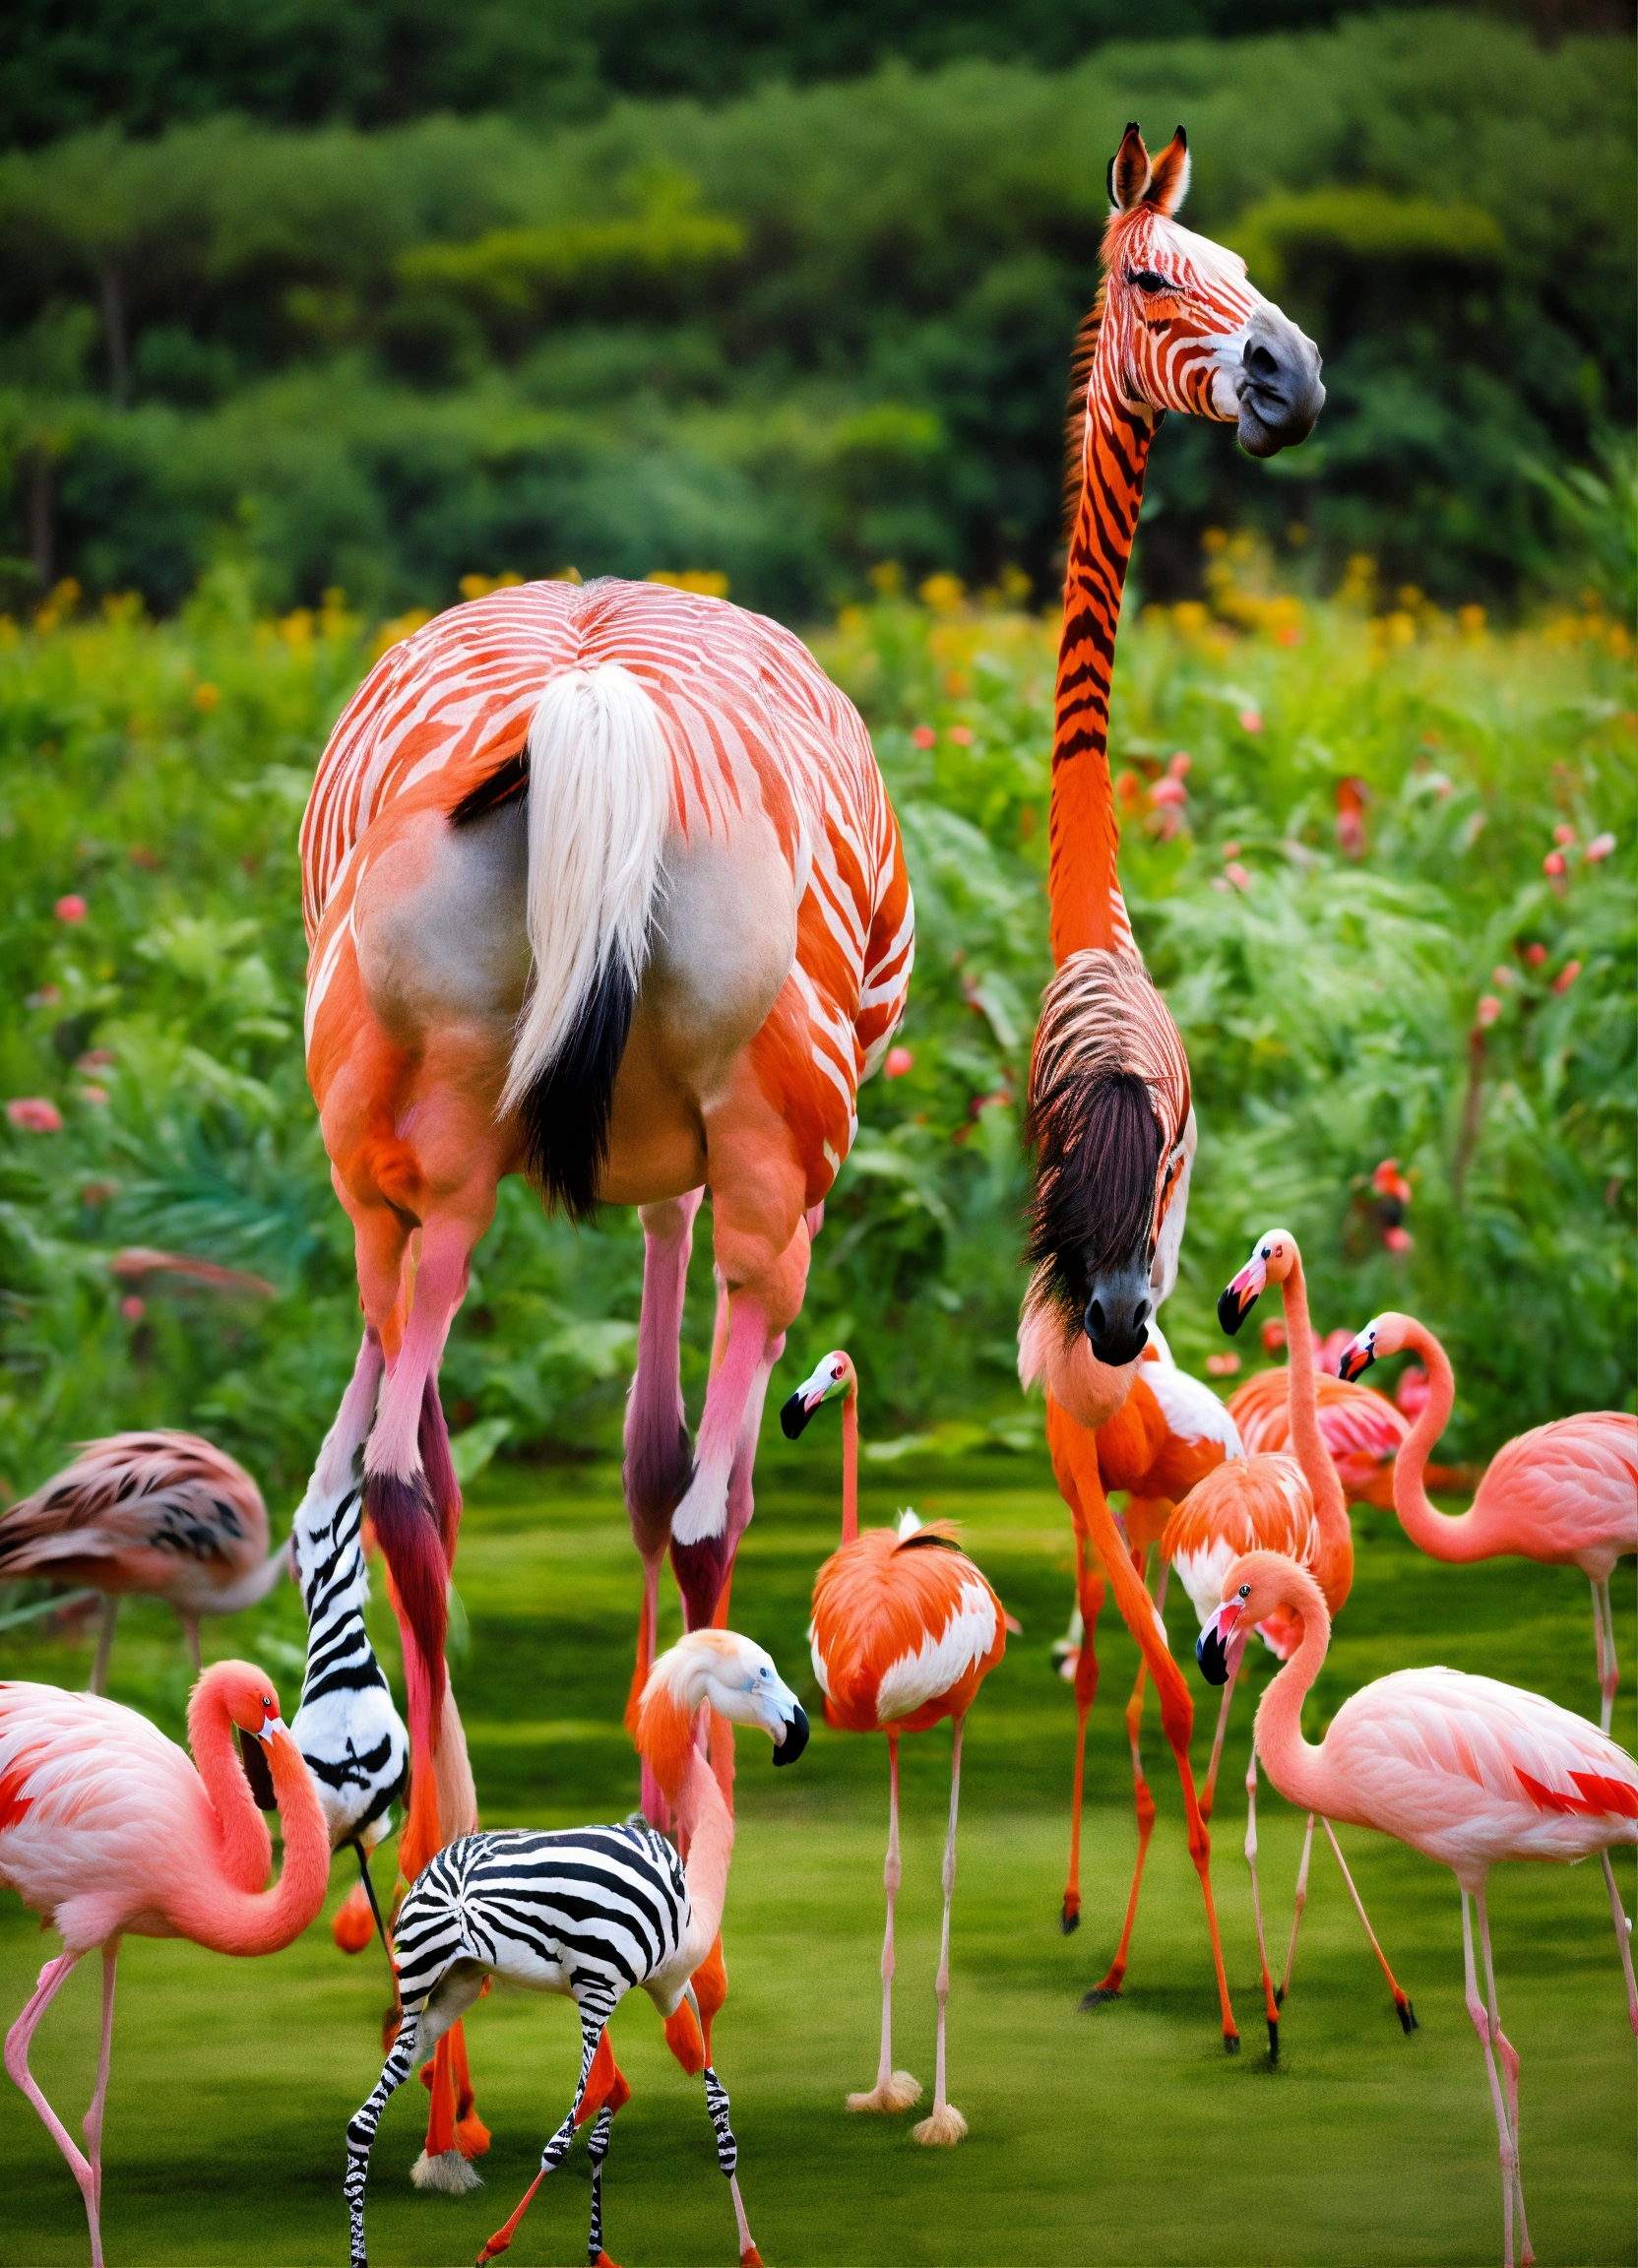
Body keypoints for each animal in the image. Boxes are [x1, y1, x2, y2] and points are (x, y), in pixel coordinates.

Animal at [344, 1626, 809, 2268]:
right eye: (763, 1673)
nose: (795, 1729)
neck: (691, 1895)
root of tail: (456, 1880)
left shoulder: (669, 1991)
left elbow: (709, 2114)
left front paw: (731, 2250)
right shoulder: (609, 1987)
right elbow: (589, 2118)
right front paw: (499, 2247)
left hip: (448, 1984)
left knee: (364, 2120)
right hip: (503, 1982)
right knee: (552, 2123)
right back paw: (477, 2238)